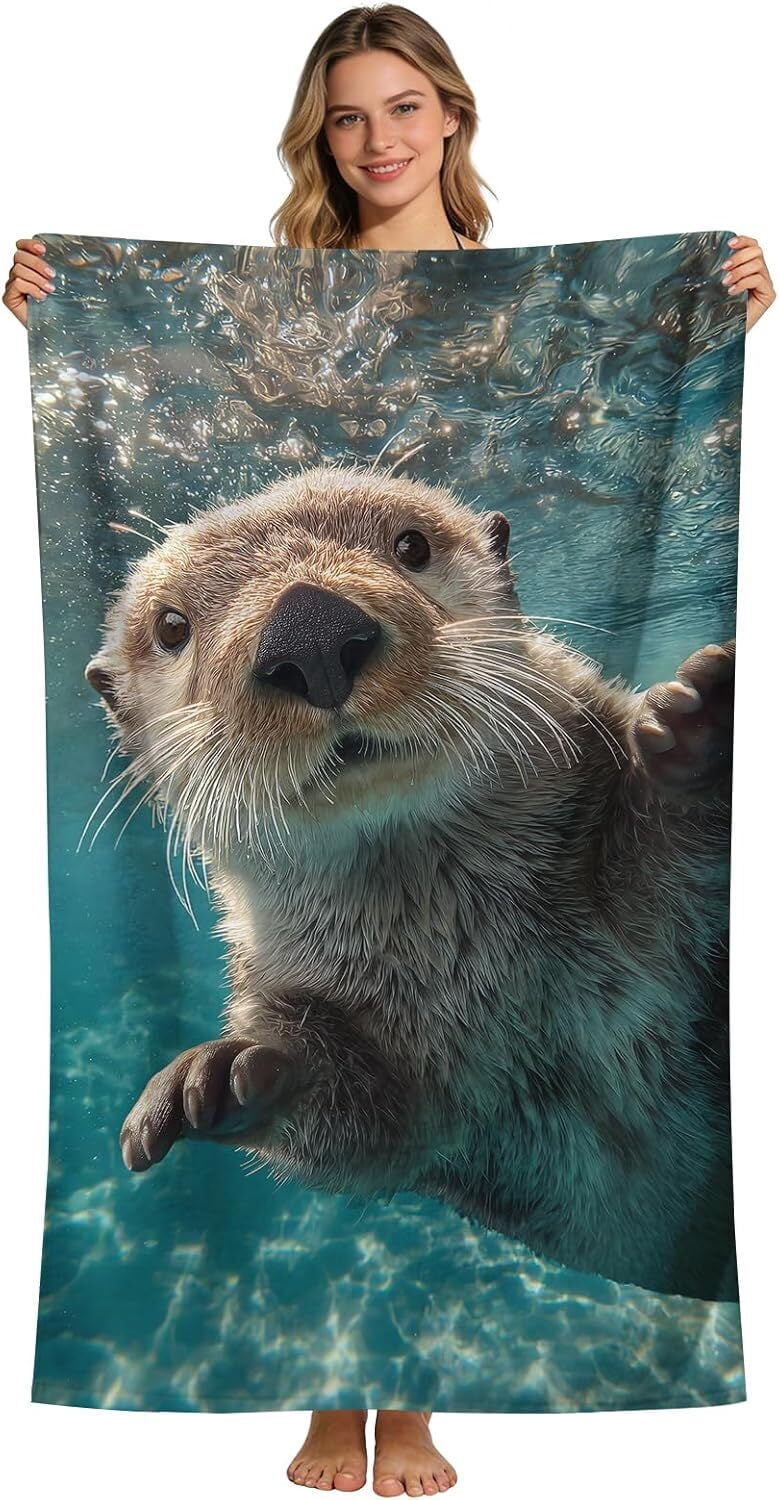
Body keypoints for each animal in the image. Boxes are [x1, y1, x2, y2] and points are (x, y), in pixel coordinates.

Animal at [84, 462, 737, 1300]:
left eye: (411, 545)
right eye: (171, 627)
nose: (310, 632)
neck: (478, 961)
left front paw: (703, 725)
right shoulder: (357, 1044)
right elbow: (371, 1130)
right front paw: (217, 1076)